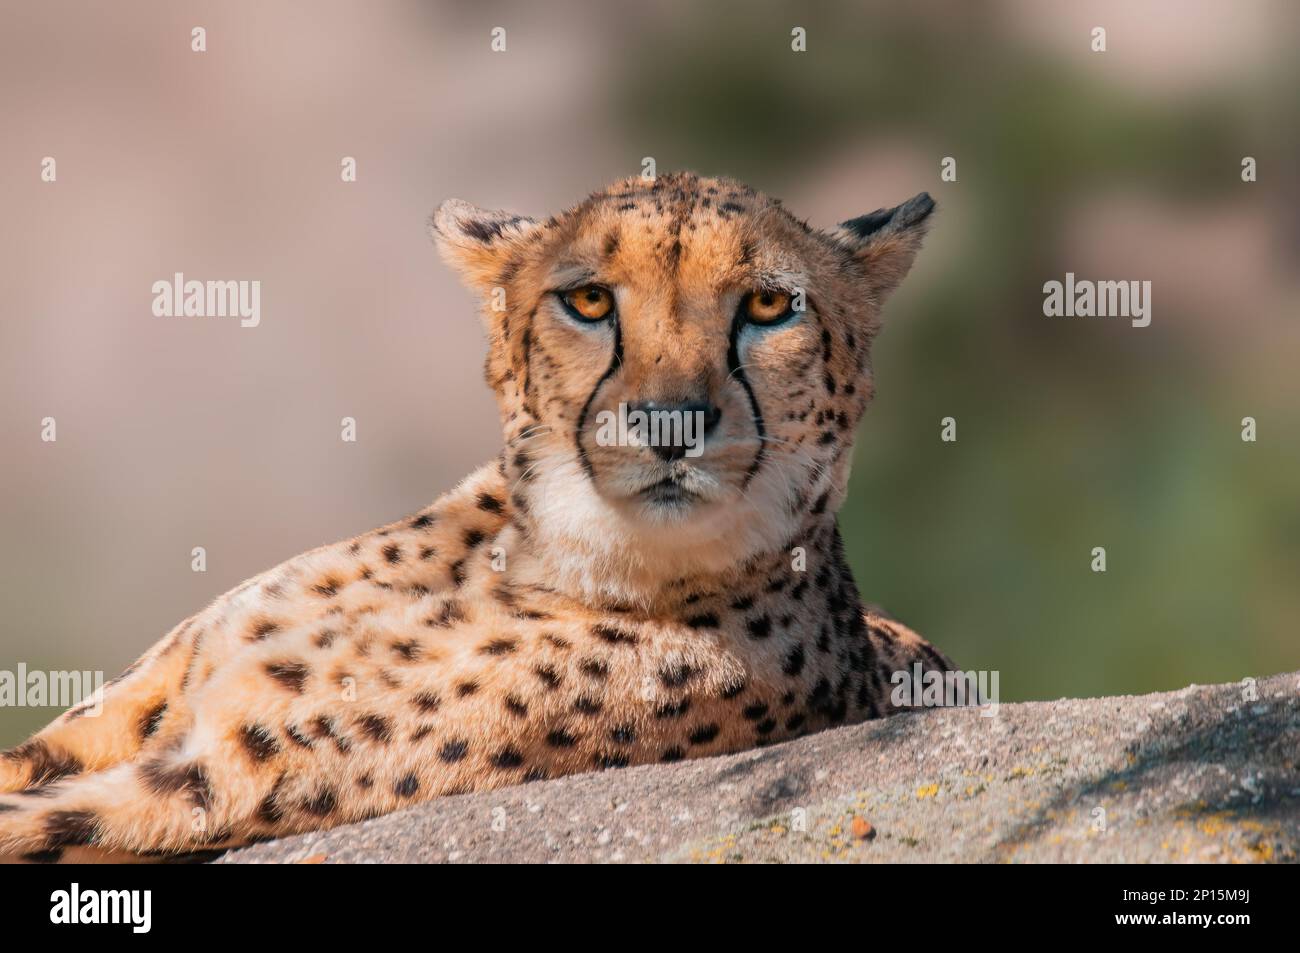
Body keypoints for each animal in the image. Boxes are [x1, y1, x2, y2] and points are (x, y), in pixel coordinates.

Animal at [0, 171, 954, 862]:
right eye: (590, 300)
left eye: (767, 305)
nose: (670, 421)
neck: (531, 552)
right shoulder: (130, 721)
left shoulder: (209, 777)